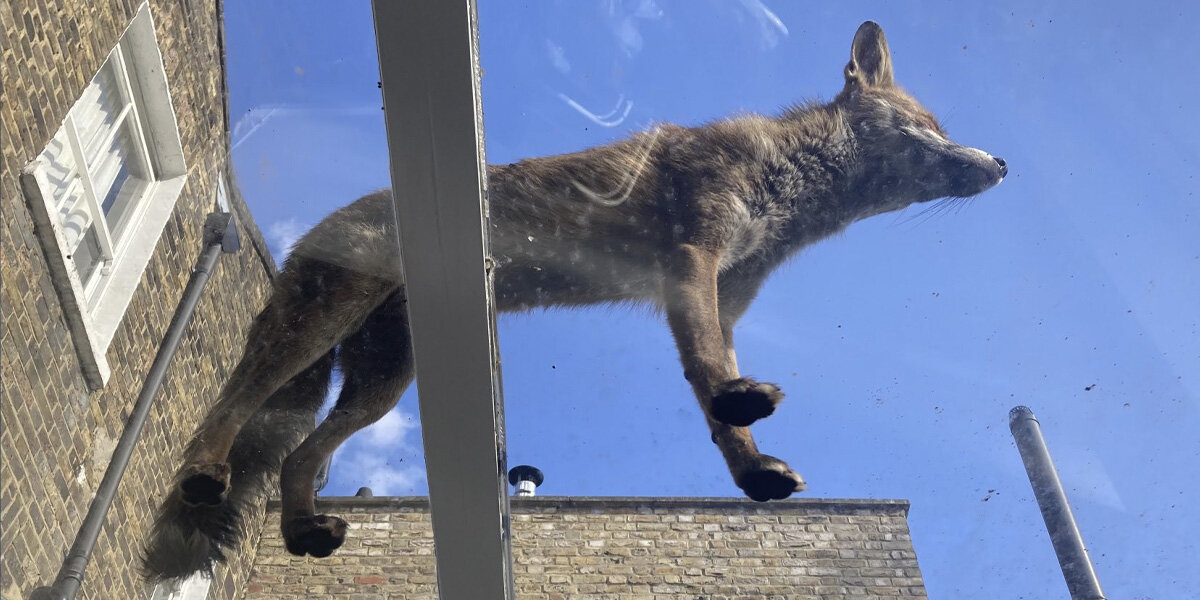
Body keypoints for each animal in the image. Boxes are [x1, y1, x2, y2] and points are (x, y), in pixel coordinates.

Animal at [144, 21, 1006, 579]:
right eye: (930, 126)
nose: (1000, 163)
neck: (780, 192)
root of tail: (321, 225)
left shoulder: (724, 296)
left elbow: (718, 410)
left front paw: (753, 472)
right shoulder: (689, 260)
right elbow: (707, 373)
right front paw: (739, 409)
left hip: (384, 386)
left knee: (299, 456)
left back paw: (301, 530)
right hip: (314, 332)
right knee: (228, 405)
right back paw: (205, 471)